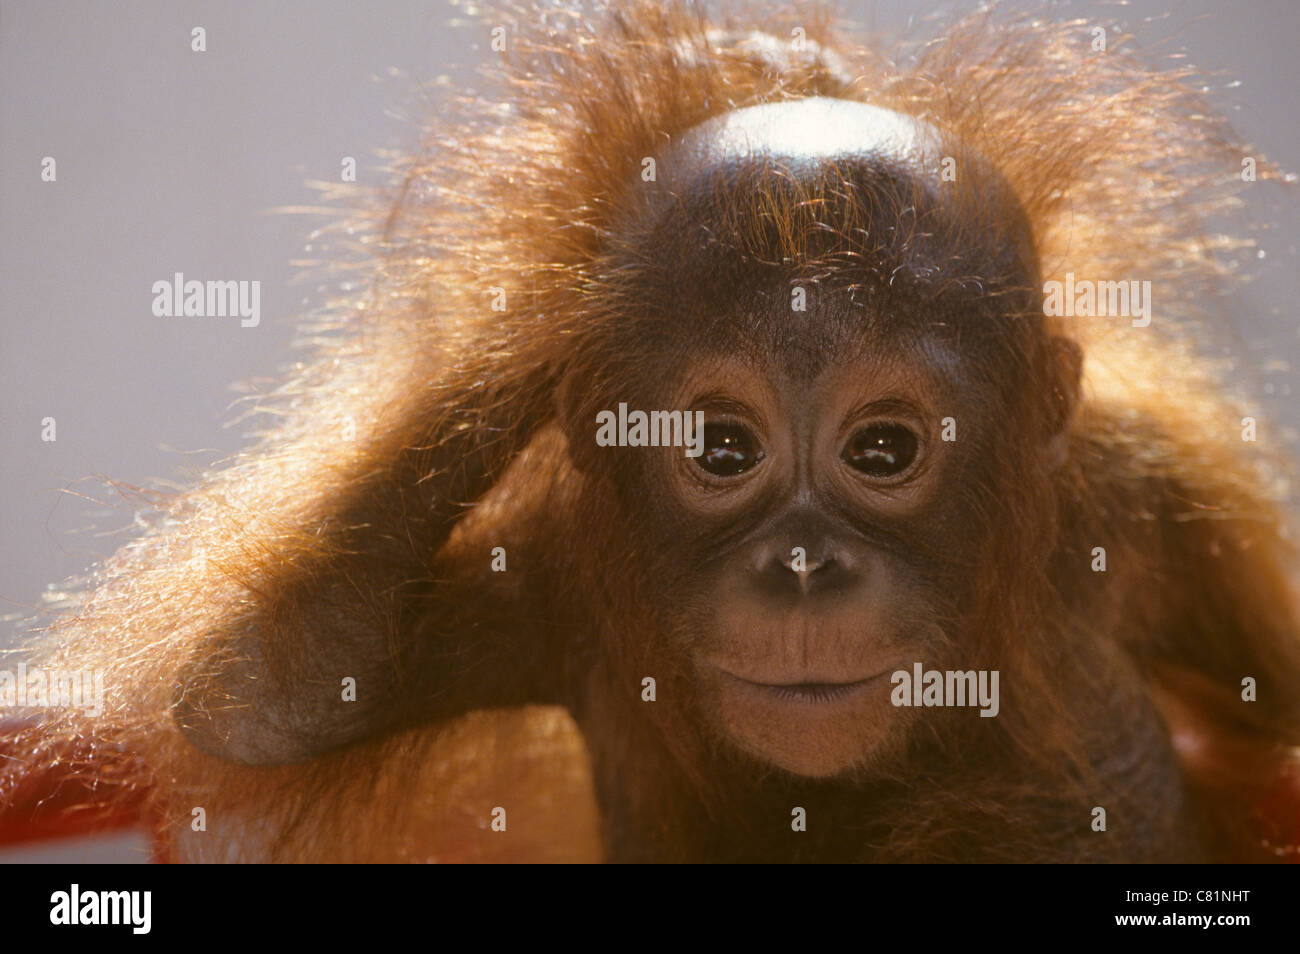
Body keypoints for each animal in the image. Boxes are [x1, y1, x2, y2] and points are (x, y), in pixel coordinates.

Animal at [3, 0, 1299, 863]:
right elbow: (265, 691)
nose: (803, 566)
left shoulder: (1144, 501)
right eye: (722, 450)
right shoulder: (555, 579)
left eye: (883, 451)